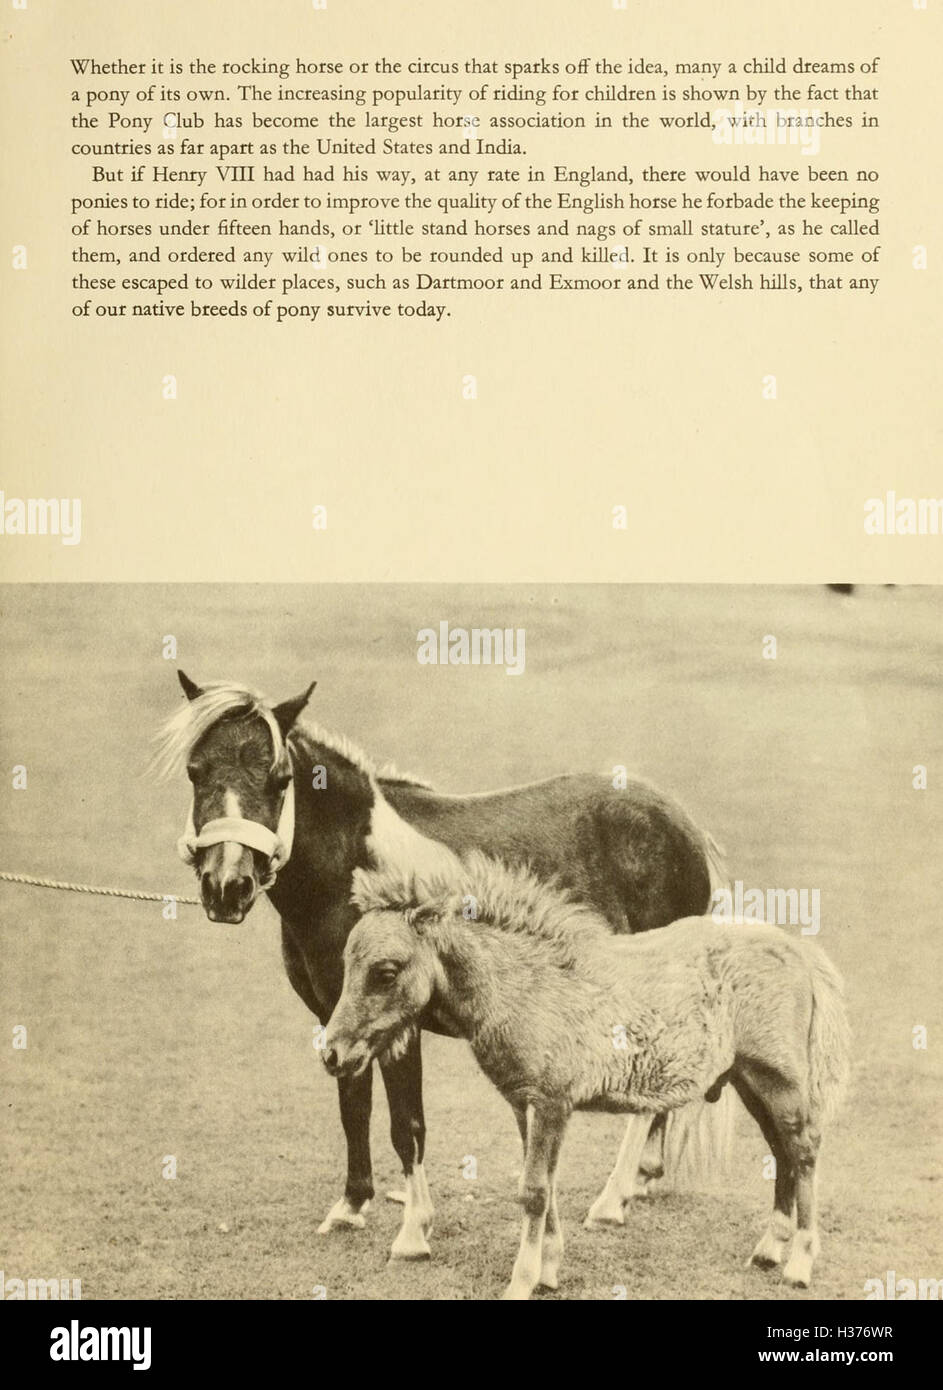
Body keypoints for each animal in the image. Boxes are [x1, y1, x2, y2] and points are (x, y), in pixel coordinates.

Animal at [154, 671, 732, 1260]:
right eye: (195, 771)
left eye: (279, 779)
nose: (228, 886)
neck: (356, 873)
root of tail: (684, 825)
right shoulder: (339, 1020)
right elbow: (353, 1109)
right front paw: (352, 1206)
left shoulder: (396, 1027)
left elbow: (406, 1125)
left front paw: (413, 1230)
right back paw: (639, 1180)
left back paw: (612, 1199)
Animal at [325, 855, 850, 1300]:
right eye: (345, 964)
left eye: (386, 971)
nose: (332, 1053)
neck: (527, 984)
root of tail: (798, 951)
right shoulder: (527, 1104)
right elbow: (546, 1185)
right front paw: (549, 1270)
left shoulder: (551, 1102)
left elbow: (534, 1192)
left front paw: (521, 1281)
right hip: (748, 1079)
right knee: (781, 1150)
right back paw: (769, 1248)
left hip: (780, 1080)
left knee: (803, 1150)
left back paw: (799, 1263)